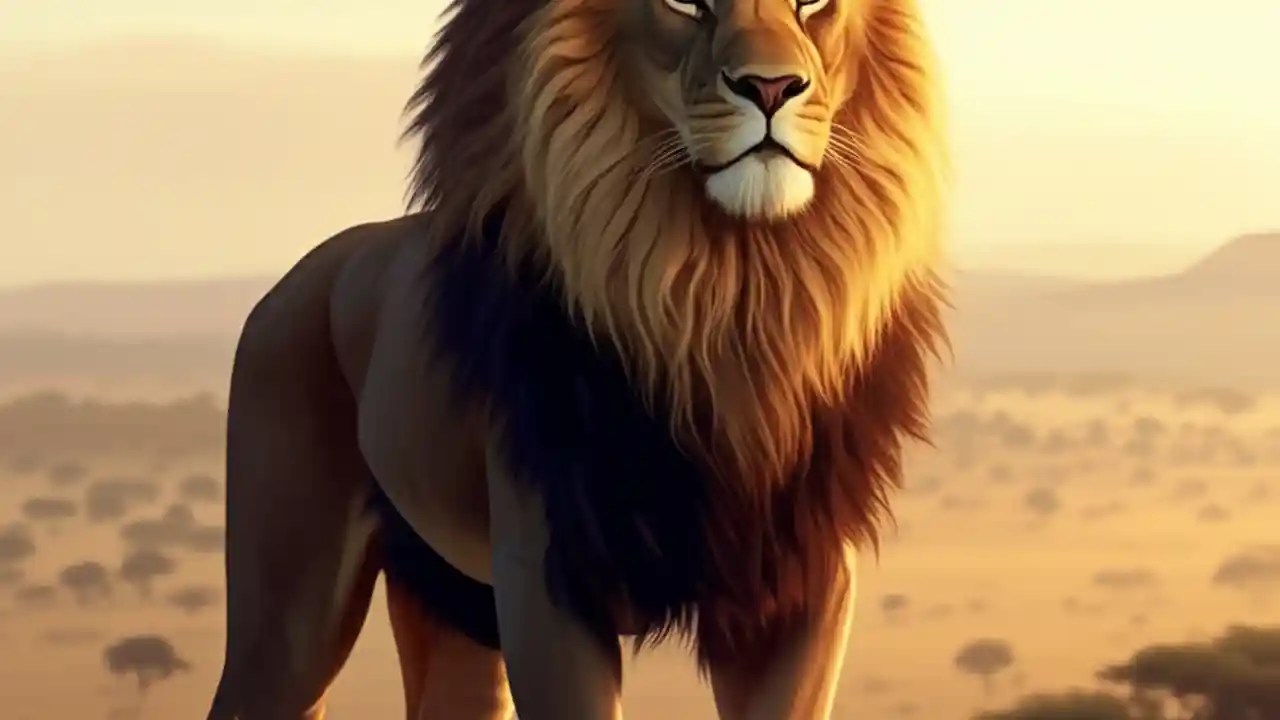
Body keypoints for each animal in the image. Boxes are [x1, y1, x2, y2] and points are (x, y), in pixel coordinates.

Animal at [206, 0, 948, 718]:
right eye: (685, 5)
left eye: (811, 4)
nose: (771, 87)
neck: (729, 300)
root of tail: (289, 283)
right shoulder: (545, 578)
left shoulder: (801, 581)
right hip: (289, 618)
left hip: (458, 609)